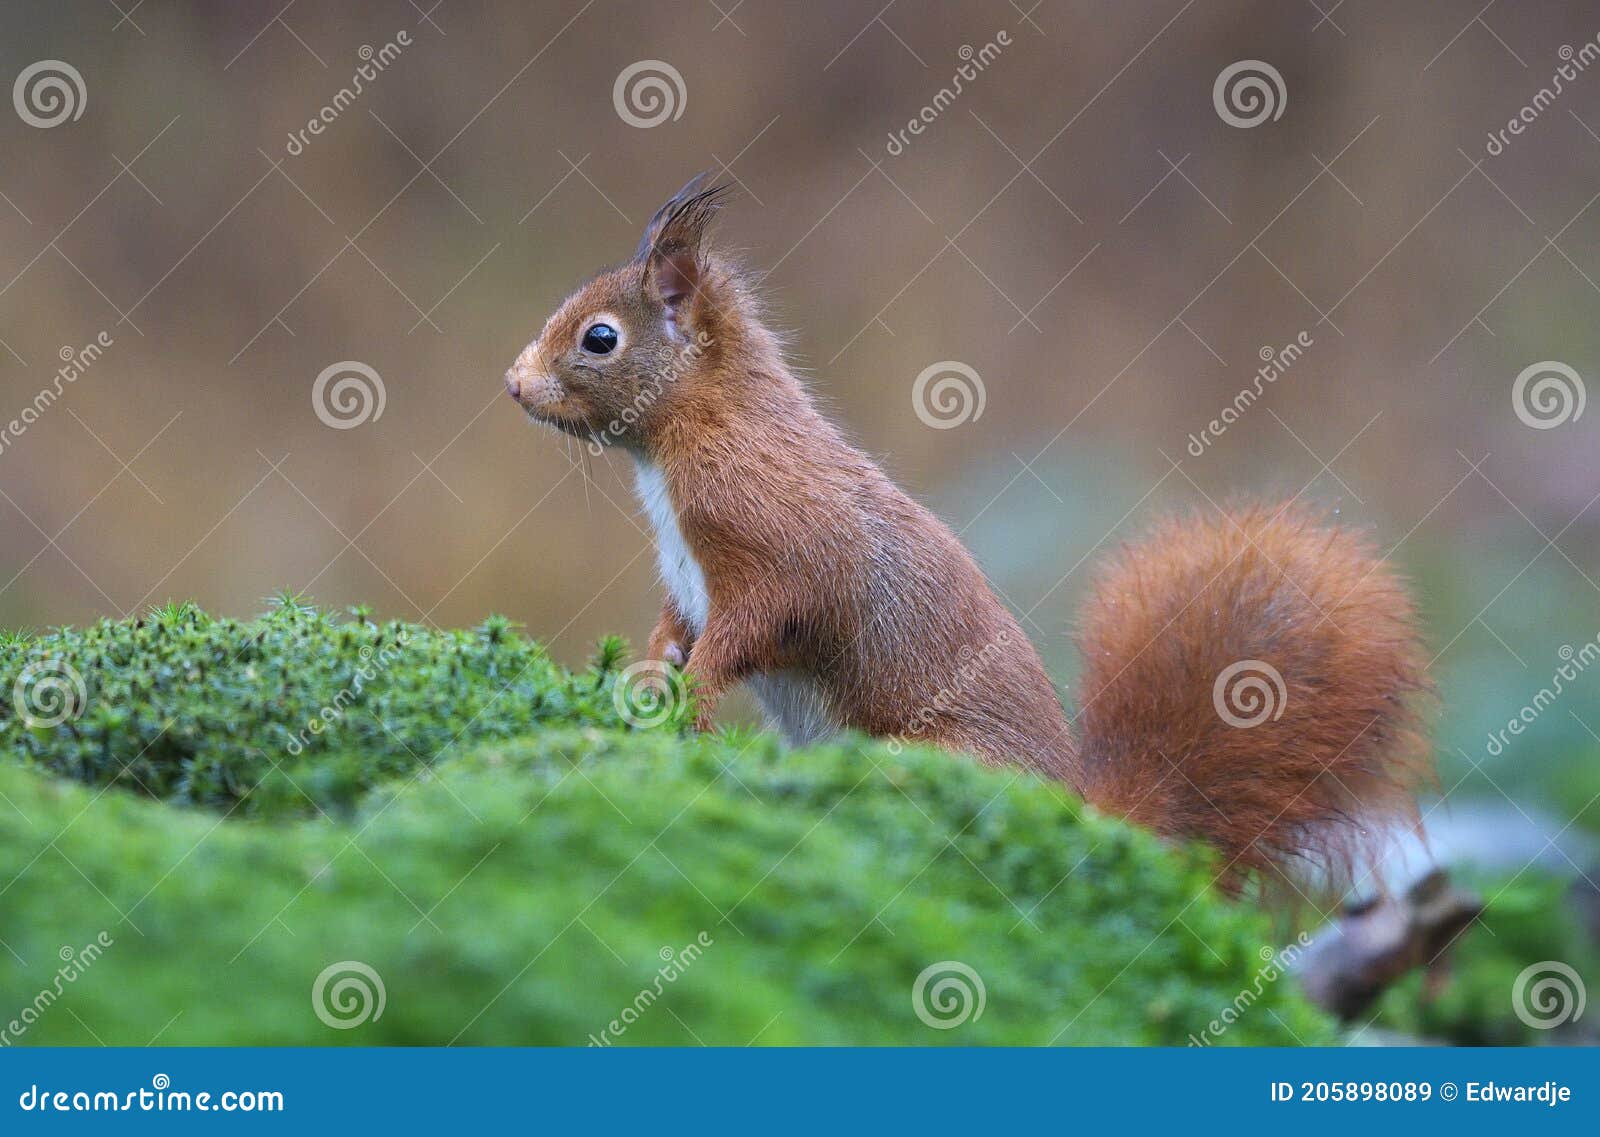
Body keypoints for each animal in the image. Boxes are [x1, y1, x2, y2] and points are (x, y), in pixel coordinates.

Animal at [505, 174, 1432, 884]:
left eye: (599, 338)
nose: (513, 384)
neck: (689, 440)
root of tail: (1078, 808)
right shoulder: (686, 574)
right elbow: (676, 623)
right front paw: (649, 674)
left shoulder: (778, 549)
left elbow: (752, 628)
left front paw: (690, 696)